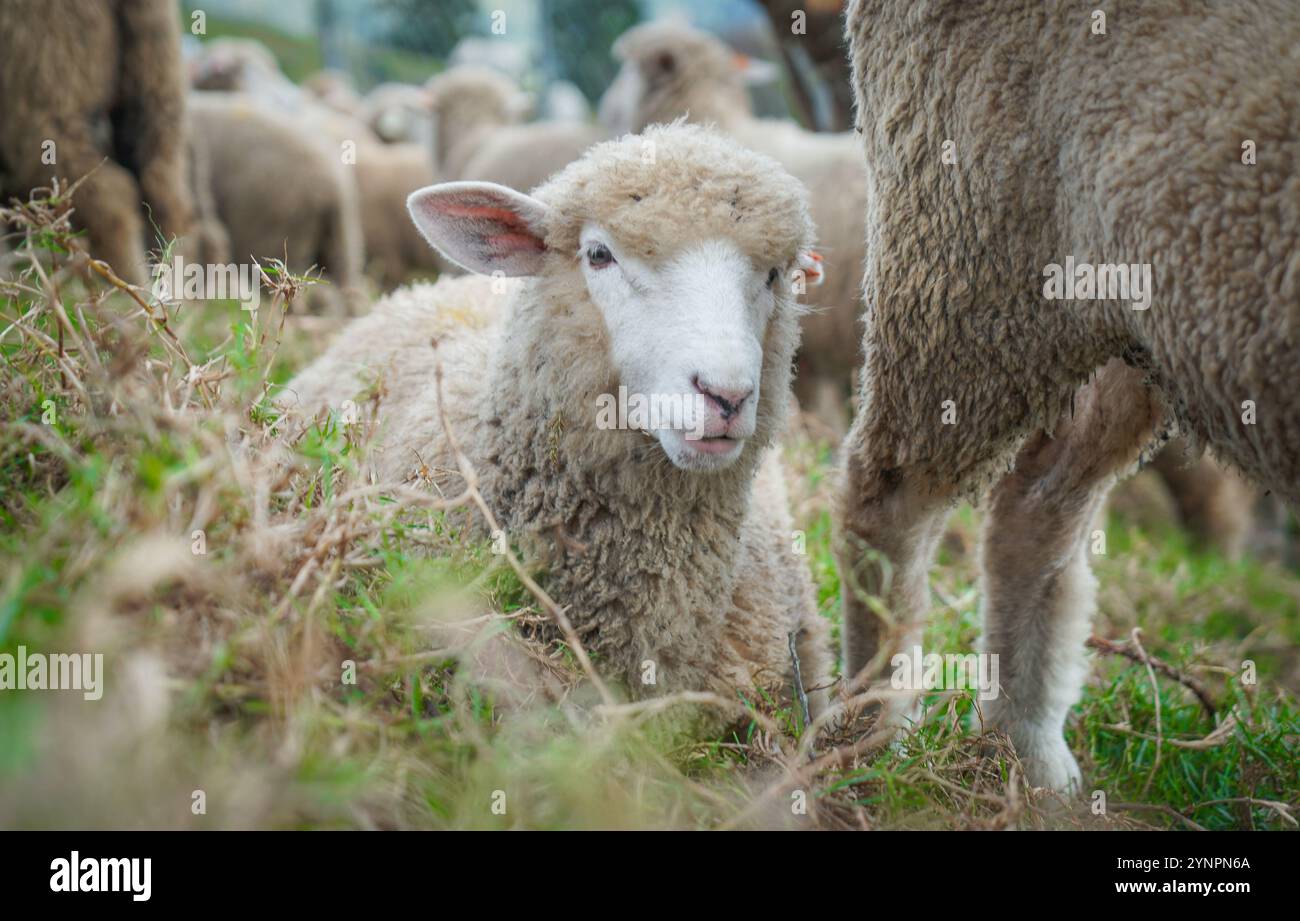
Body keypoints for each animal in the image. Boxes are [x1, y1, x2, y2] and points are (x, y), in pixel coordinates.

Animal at [838, 0, 1299, 792]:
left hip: (1129, 312)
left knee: (1036, 506)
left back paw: (1029, 761)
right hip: (967, 246)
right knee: (888, 493)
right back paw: (869, 738)